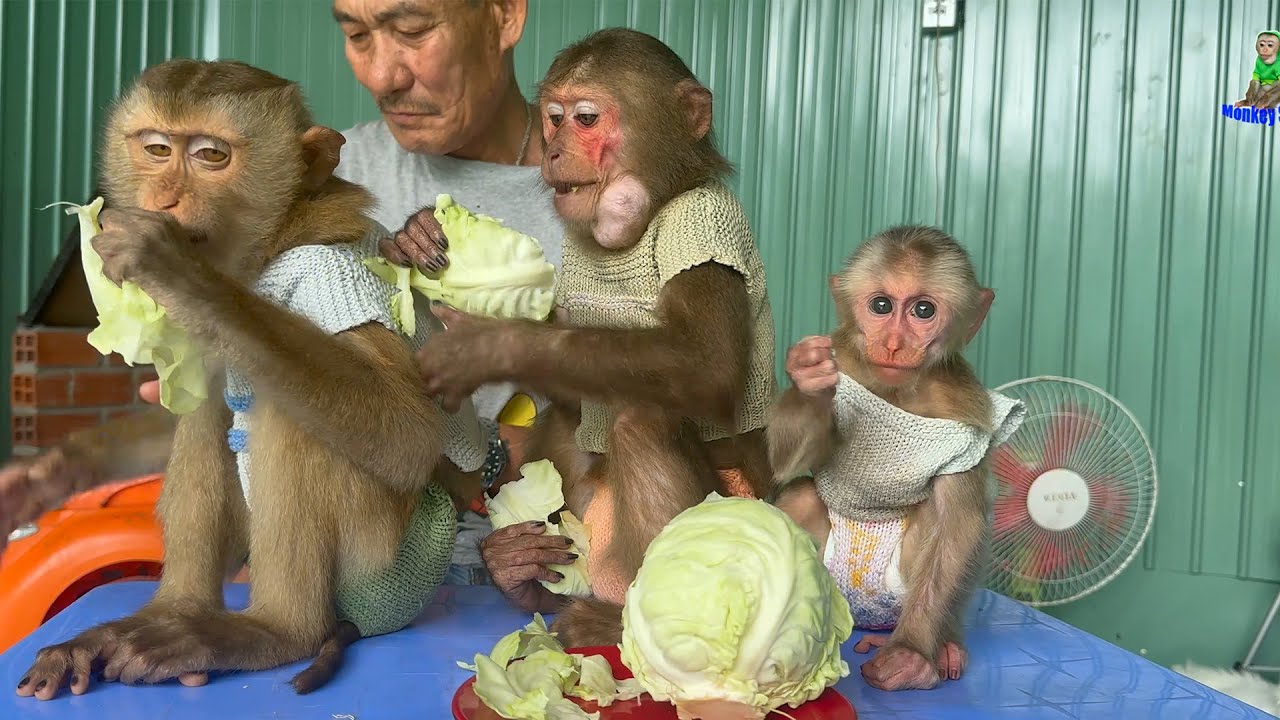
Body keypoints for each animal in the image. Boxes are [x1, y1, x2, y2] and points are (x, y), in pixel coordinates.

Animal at [12, 58, 488, 701]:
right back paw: (168, 614)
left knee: (288, 411)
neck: (263, 253)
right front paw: (58, 470)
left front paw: (175, 270)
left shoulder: (332, 273)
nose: (164, 198)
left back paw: (278, 629)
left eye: (211, 156)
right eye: (157, 149)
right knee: (212, 406)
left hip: (388, 565)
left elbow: (409, 434)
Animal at [390, 28, 777, 648]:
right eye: (554, 119)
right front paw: (416, 234)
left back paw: (625, 625)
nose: (552, 151)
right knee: (568, 425)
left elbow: (707, 364)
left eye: (587, 118)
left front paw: (489, 346)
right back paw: (520, 571)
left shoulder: (703, 223)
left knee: (642, 417)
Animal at [768, 225, 1025, 692]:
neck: (897, 393)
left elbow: (960, 520)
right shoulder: (847, 362)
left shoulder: (967, 413)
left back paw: (937, 644)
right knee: (801, 496)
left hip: (897, 594)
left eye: (923, 310)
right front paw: (810, 381)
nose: (892, 343)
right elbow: (784, 462)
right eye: (882, 306)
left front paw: (911, 654)